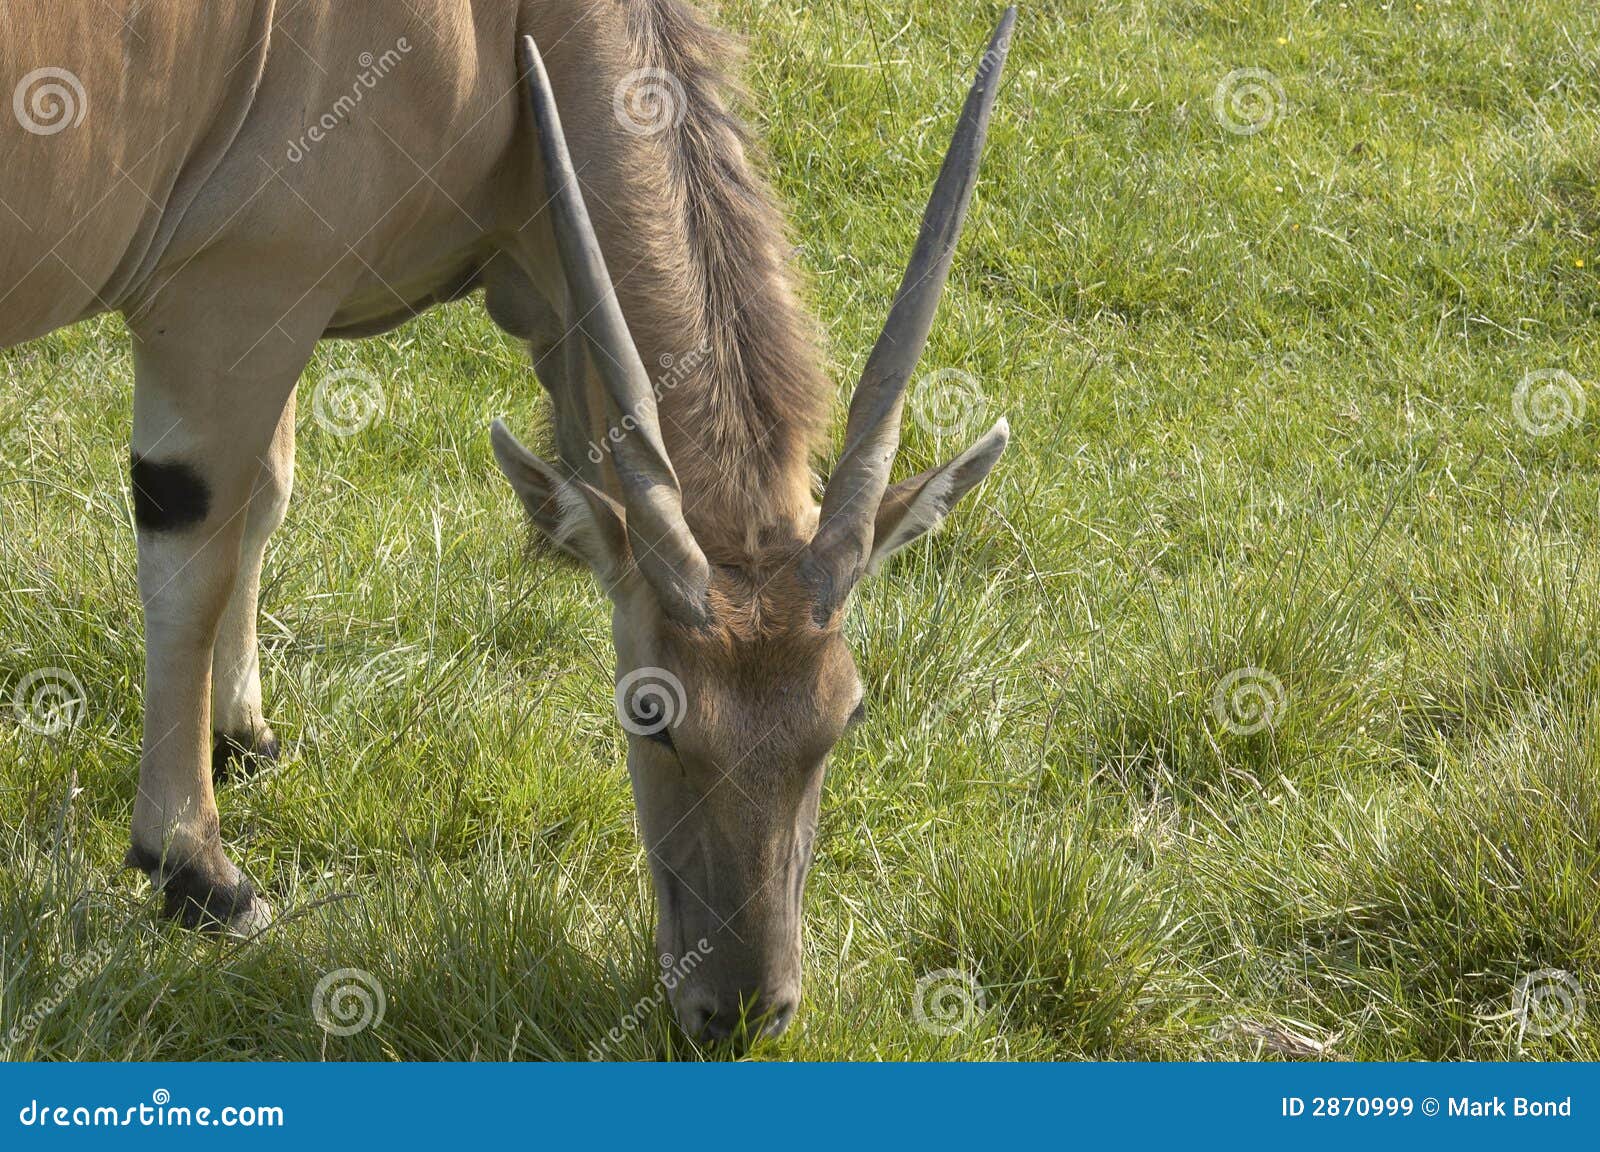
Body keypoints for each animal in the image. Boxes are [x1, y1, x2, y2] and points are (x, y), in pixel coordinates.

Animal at [0, 1, 1013, 1042]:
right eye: (649, 711)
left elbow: (266, 495)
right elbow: (193, 556)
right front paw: (198, 872)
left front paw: (245, 736)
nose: (743, 1012)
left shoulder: (279, 321)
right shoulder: (233, 299)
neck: (496, 34)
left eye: (846, 714)